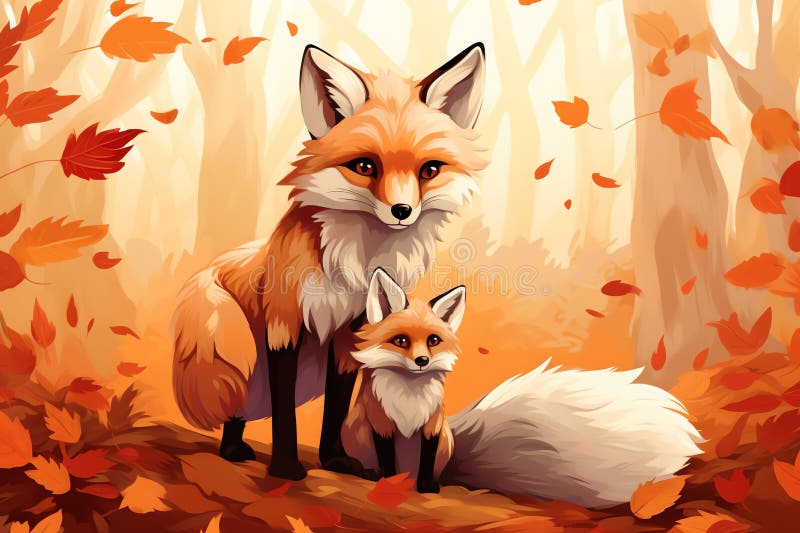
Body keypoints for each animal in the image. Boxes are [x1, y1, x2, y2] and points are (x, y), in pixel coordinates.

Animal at [171, 43, 488, 480]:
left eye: (430, 170)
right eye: (365, 166)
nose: (402, 211)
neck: (351, 267)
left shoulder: (350, 331)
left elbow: (337, 405)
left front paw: (336, 461)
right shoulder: (283, 324)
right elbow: (285, 409)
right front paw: (286, 467)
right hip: (245, 359)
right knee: (239, 403)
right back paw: (232, 450)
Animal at [342, 269, 704, 507]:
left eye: (433, 340)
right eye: (401, 341)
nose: (421, 361)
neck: (408, 397)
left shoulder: (432, 426)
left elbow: (426, 462)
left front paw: (426, 487)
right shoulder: (381, 423)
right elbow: (387, 459)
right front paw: (390, 482)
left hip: (446, 440)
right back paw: (369, 472)